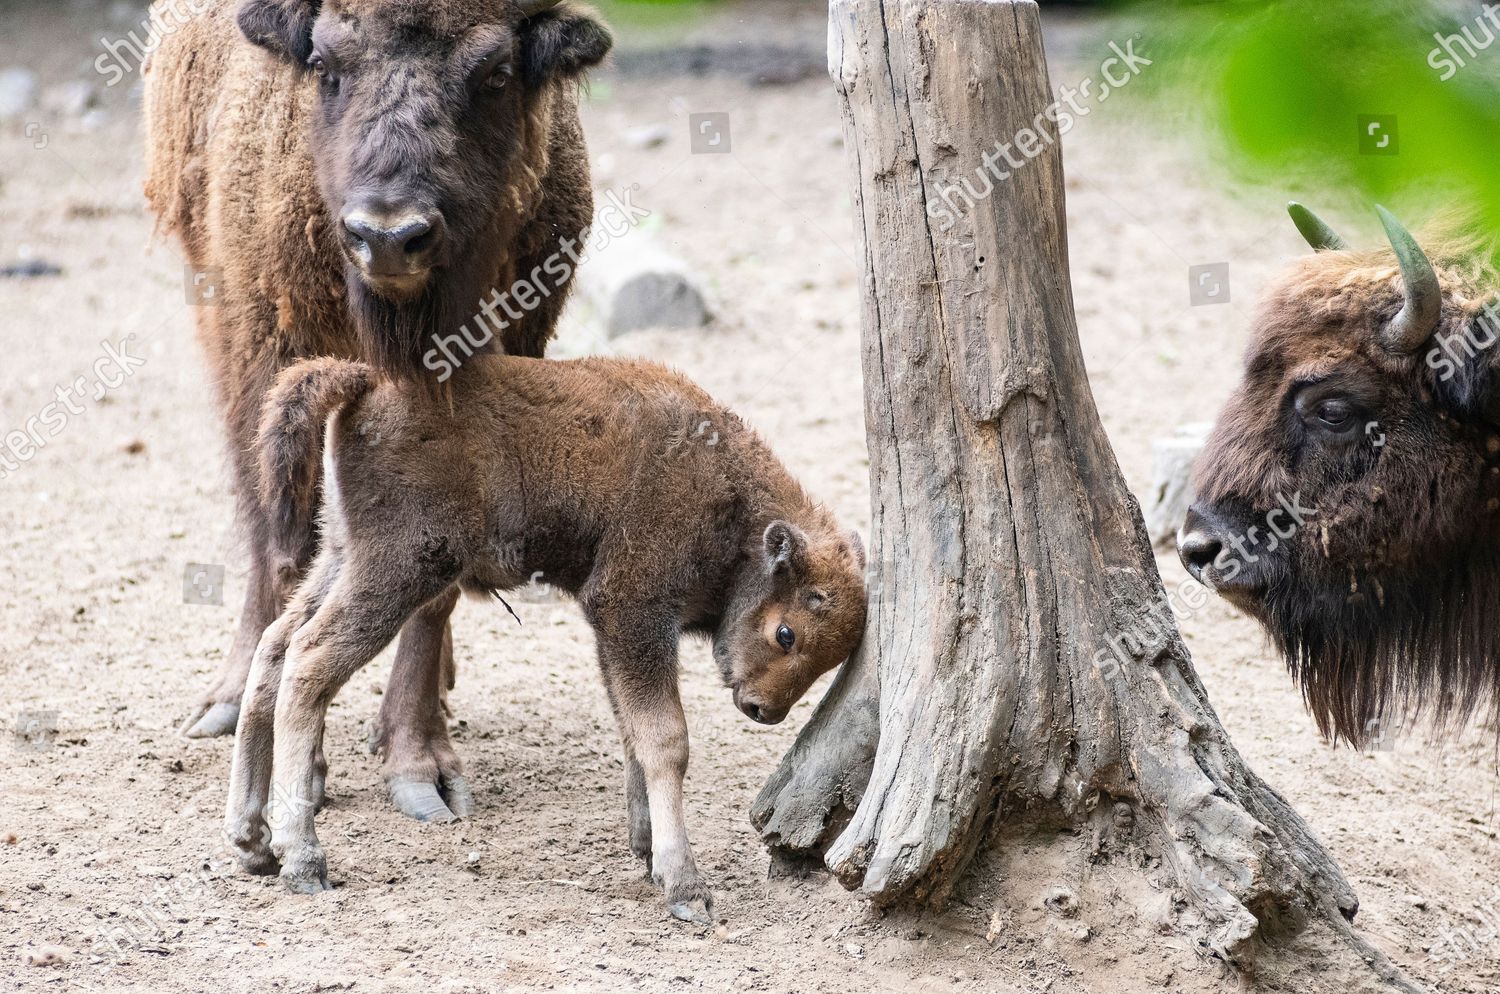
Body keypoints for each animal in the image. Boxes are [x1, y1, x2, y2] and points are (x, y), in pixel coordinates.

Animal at [143, 0, 612, 820]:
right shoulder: (267, 352)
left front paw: (420, 767)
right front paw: (281, 744)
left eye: (495, 72)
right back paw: (226, 700)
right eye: (326, 66)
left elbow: (435, 584)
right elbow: (284, 544)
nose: (388, 237)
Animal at [222, 355, 869, 923]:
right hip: (398, 570)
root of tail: (370, 381)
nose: (763, 710)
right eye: (786, 633)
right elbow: (665, 740)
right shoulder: (633, 614)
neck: (729, 500)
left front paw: (645, 848)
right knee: (308, 663)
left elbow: (632, 733)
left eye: (829, 658)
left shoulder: (614, 635)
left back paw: (251, 840)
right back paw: (303, 861)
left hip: (340, 555)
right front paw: (686, 889)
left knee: (275, 647)